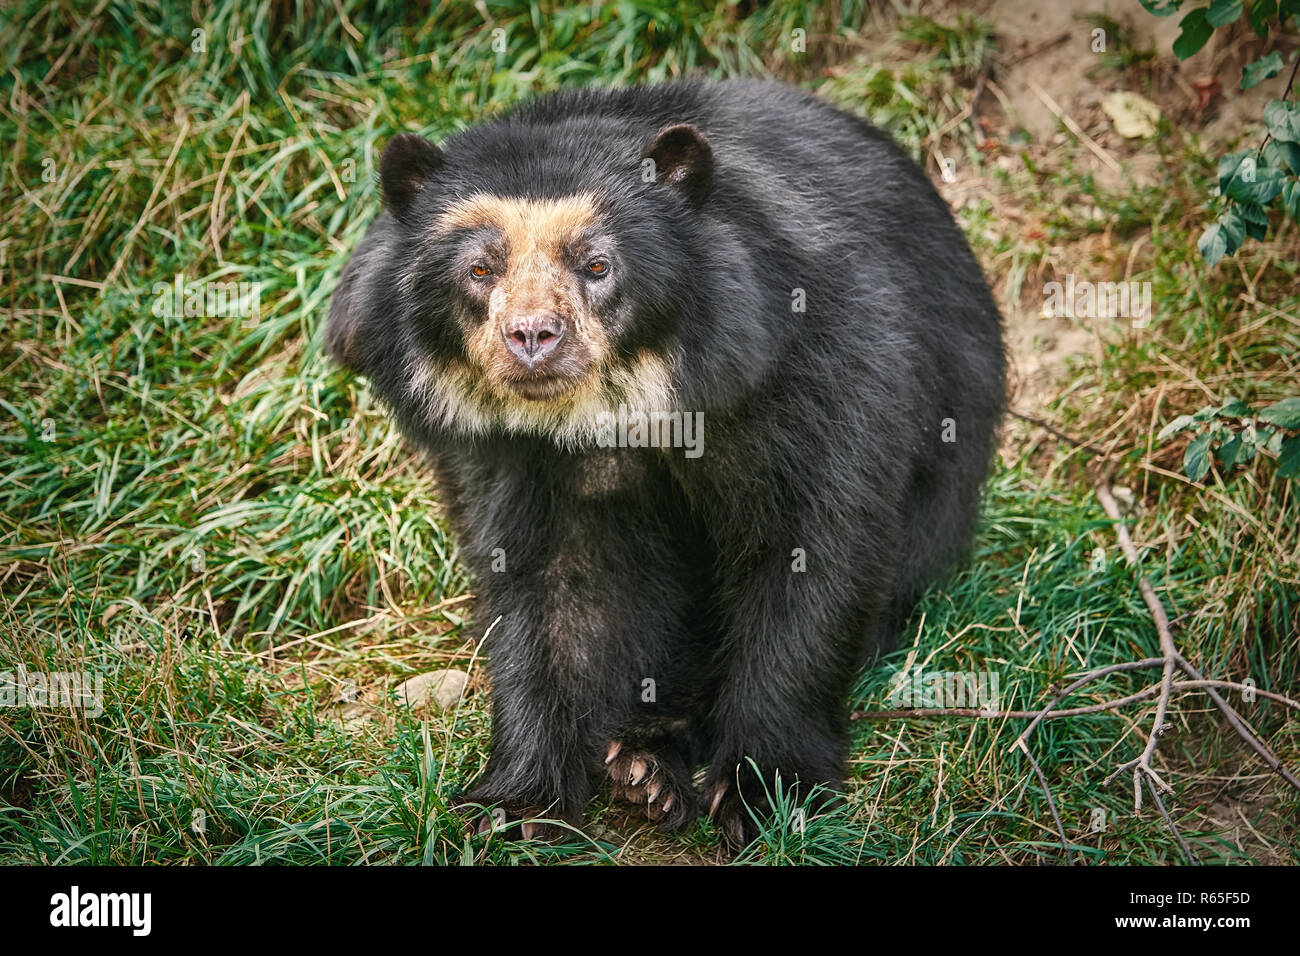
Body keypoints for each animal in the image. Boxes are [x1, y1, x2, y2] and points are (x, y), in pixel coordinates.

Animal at [325, 78, 1005, 848]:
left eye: (597, 265)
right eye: (479, 268)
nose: (531, 337)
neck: (621, 408)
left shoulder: (812, 369)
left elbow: (813, 552)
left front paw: (763, 793)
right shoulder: (512, 454)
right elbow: (556, 587)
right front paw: (516, 805)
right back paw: (644, 767)